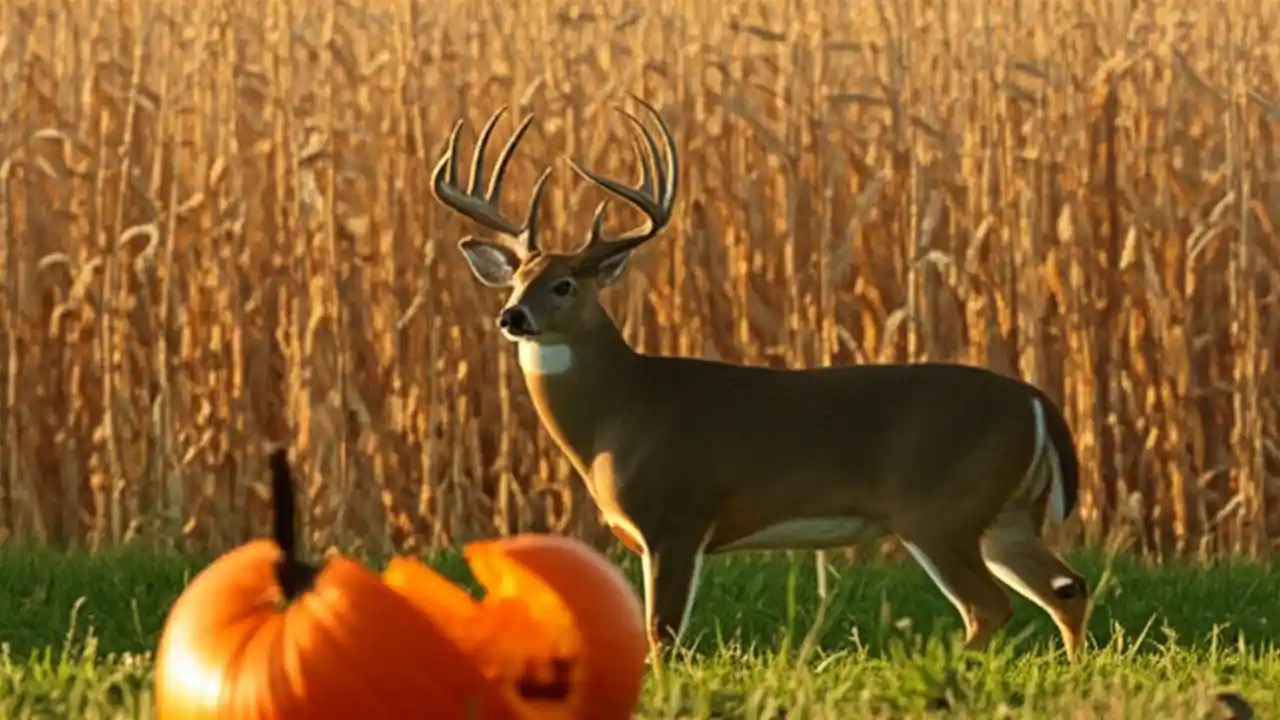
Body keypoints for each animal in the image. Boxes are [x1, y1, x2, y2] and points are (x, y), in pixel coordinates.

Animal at [430, 97, 1092, 662]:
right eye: (517, 281)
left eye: (565, 284)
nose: (512, 317)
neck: (618, 415)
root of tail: (1036, 400)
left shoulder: (677, 515)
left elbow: (661, 635)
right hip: (1003, 512)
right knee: (1067, 587)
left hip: (940, 507)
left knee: (991, 606)